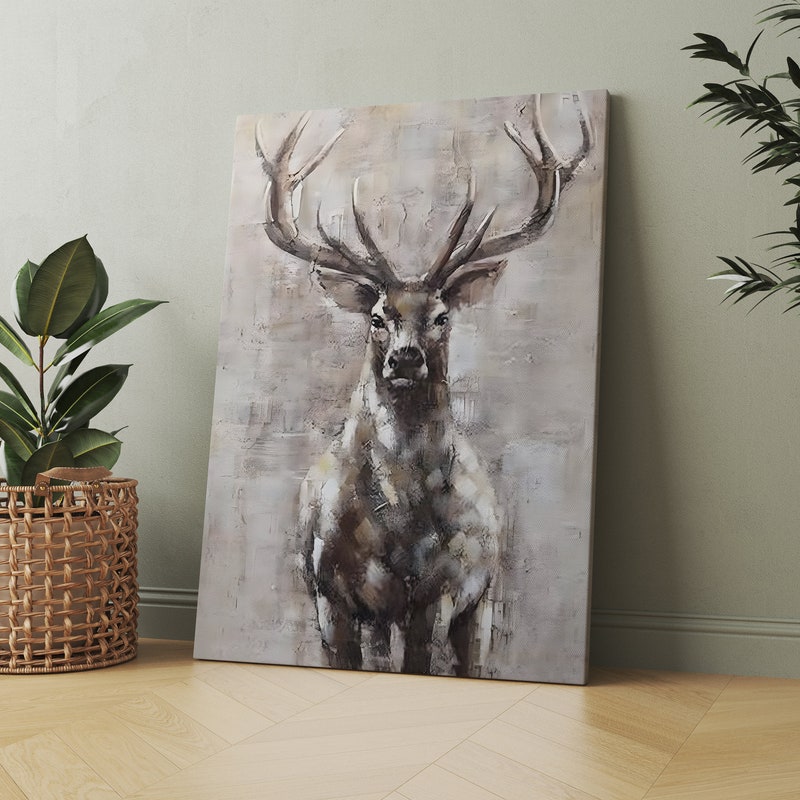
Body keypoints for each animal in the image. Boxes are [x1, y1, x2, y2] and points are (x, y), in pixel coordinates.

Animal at [255, 95, 591, 677]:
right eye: (376, 316)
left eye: (441, 316)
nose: (406, 358)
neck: (395, 522)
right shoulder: (328, 591)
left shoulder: (442, 591)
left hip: (484, 599)